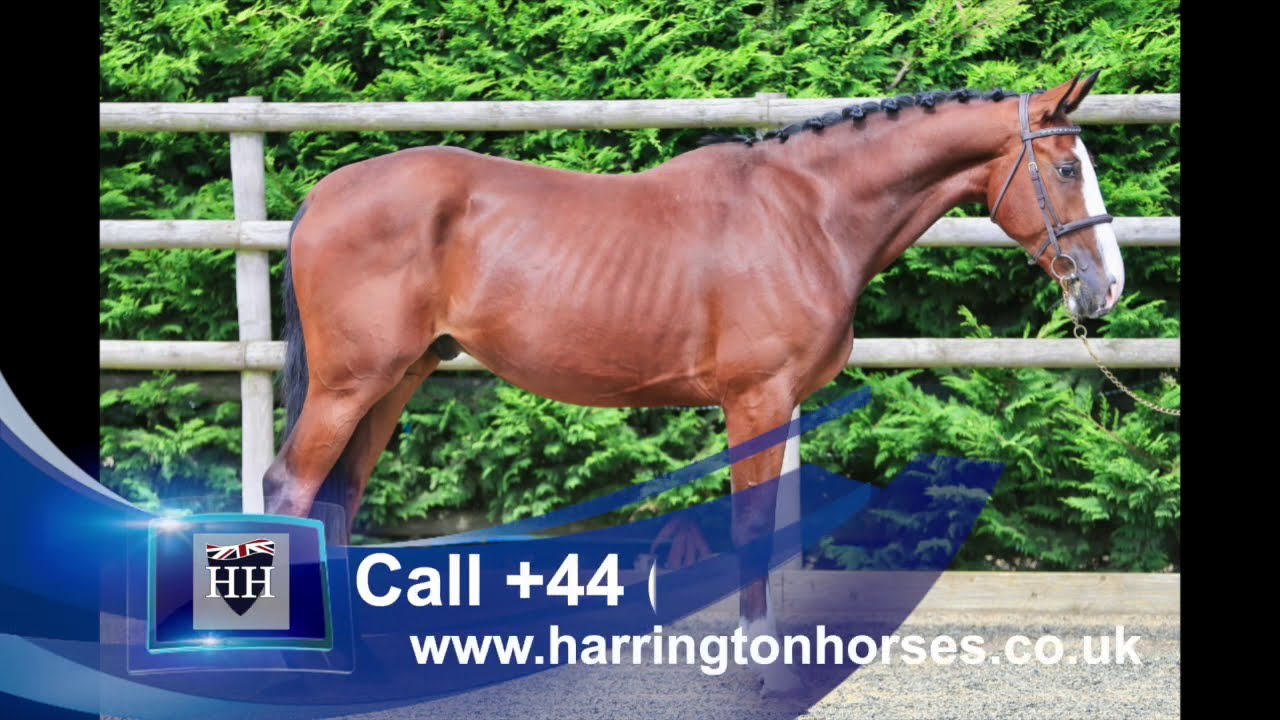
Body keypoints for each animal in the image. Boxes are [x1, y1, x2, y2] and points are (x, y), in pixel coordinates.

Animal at [262, 72, 1122, 695]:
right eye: (1067, 167)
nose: (1106, 288)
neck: (807, 216)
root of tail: (323, 195)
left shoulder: (786, 403)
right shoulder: (755, 399)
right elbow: (751, 523)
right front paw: (760, 666)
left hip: (395, 381)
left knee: (339, 499)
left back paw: (352, 666)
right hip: (350, 385)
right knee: (292, 490)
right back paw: (295, 668)